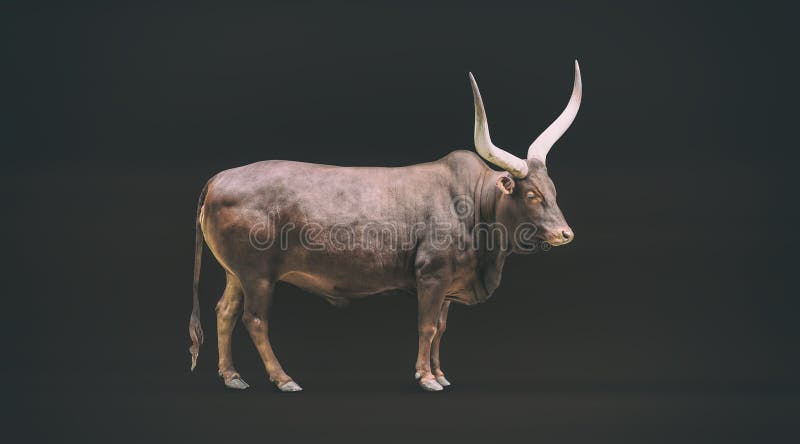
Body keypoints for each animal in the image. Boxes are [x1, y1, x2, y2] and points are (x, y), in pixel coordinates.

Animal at [189, 61, 582, 392]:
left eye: (552, 190)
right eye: (531, 194)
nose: (566, 234)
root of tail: (221, 178)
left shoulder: (450, 285)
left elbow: (440, 329)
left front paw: (440, 373)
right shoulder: (432, 275)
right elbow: (427, 326)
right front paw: (426, 378)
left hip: (235, 273)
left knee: (225, 312)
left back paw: (232, 376)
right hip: (257, 275)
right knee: (254, 319)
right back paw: (283, 379)